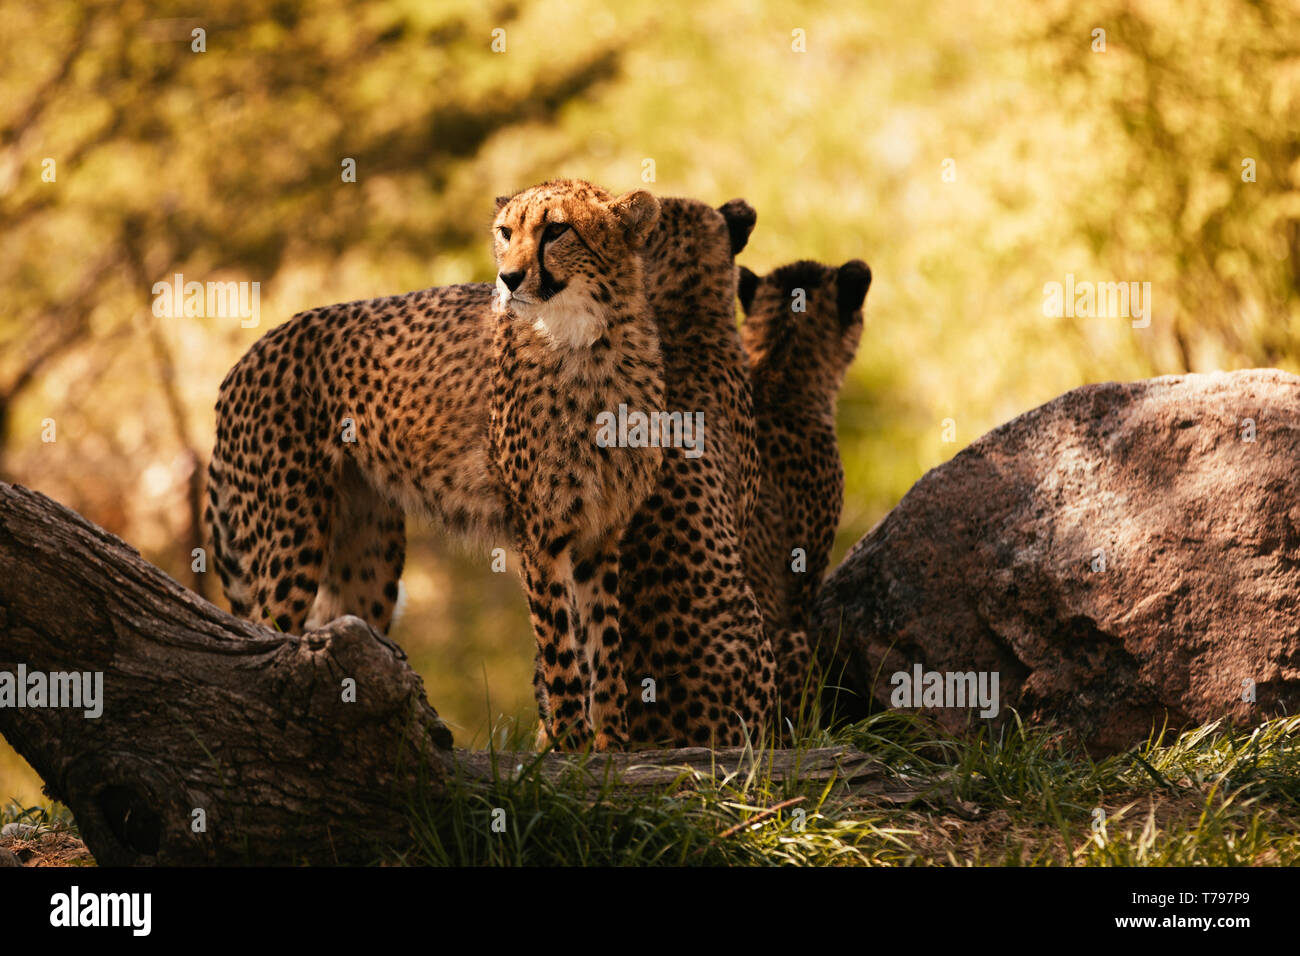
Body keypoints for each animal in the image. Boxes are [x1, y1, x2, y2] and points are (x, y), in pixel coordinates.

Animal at [205, 178, 664, 751]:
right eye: (505, 232)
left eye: (557, 230)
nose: (509, 279)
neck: (589, 342)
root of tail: (248, 355)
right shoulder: (541, 532)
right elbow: (560, 647)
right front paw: (573, 746)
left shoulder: (599, 533)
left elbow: (603, 642)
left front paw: (612, 746)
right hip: (291, 538)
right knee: (266, 635)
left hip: (367, 556)